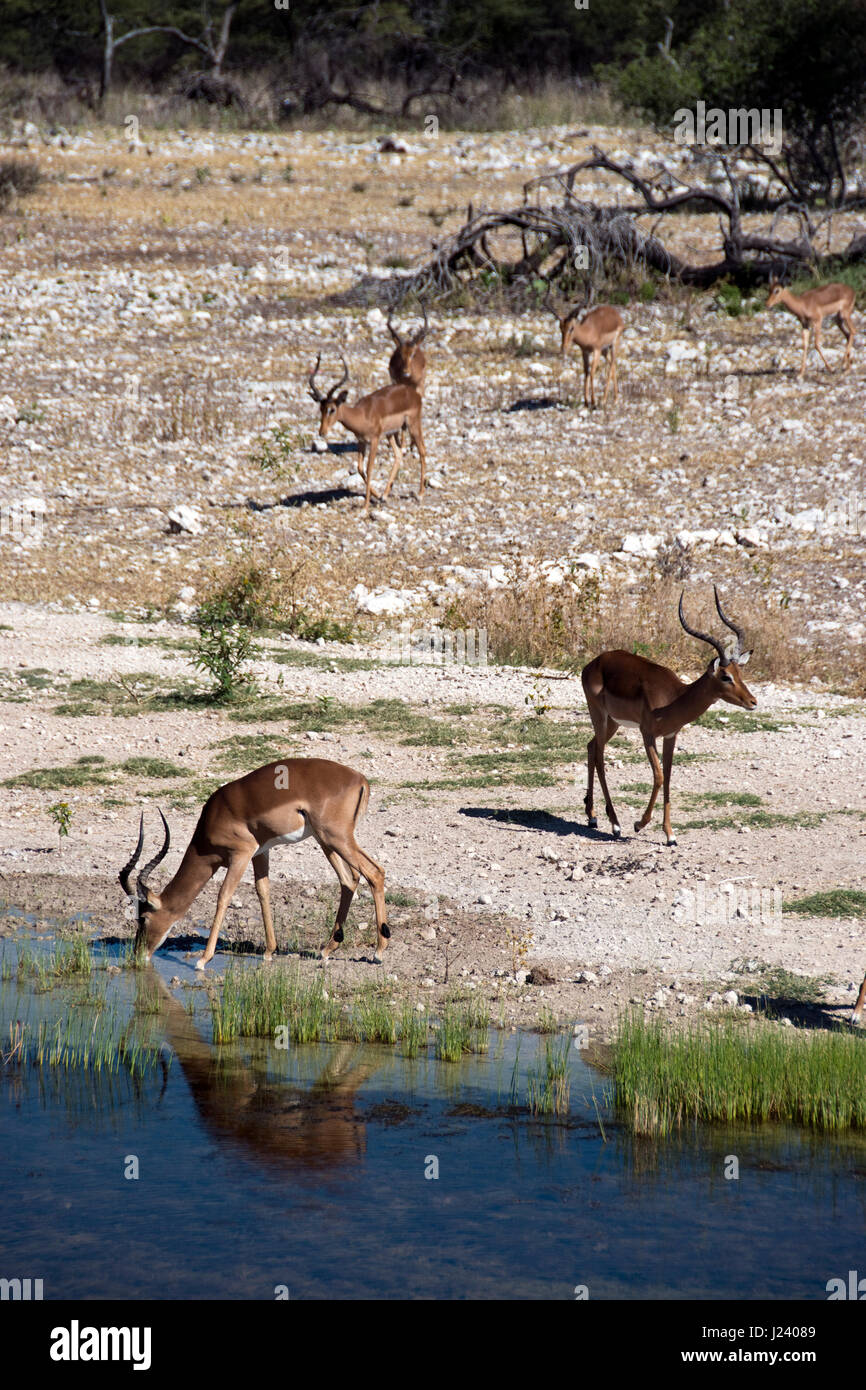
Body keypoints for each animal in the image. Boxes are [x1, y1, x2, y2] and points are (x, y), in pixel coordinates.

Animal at [118, 757, 389, 970]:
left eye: (143, 918)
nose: (138, 956)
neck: (212, 822)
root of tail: (360, 779)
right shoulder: (261, 852)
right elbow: (263, 891)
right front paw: (269, 951)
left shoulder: (241, 854)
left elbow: (223, 897)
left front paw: (203, 960)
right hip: (326, 840)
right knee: (349, 880)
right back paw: (327, 949)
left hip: (335, 838)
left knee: (375, 872)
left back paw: (378, 951)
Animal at [308, 354, 427, 515]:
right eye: (321, 408)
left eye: (332, 409)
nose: (322, 432)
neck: (362, 415)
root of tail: (414, 394)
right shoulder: (361, 441)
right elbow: (360, 468)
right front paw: (376, 496)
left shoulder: (374, 440)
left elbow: (370, 469)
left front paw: (365, 506)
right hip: (391, 433)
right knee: (398, 455)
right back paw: (384, 496)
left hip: (412, 425)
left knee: (422, 451)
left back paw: (420, 494)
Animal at [581, 587, 756, 846]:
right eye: (725, 676)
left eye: (739, 673)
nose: (753, 702)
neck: (675, 697)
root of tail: (592, 664)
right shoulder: (647, 734)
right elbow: (659, 776)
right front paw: (639, 824)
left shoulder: (671, 736)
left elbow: (670, 778)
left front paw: (670, 834)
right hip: (600, 716)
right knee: (601, 758)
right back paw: (615, 824)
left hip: (612, 722)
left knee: (591, 747)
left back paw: (592, 816)